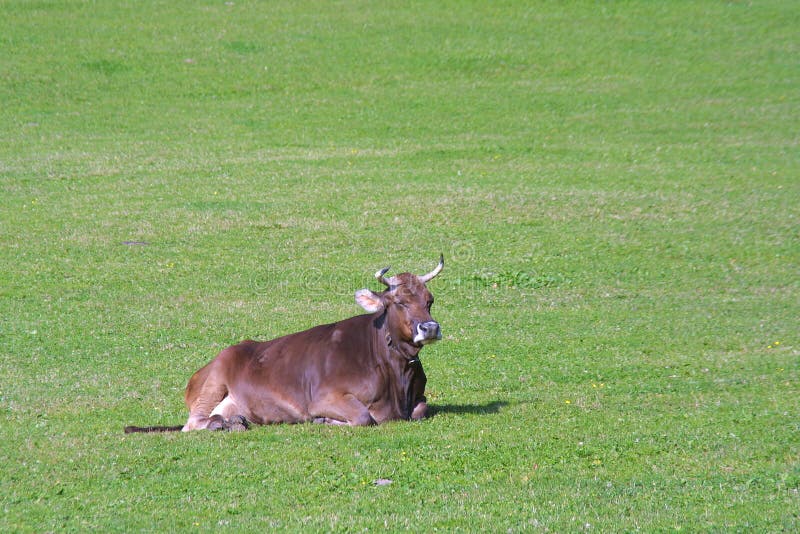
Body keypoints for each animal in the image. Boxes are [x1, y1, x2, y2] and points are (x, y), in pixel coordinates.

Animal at [124, 256, 443, 433]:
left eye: (429, 300)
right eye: (399, 302)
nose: (429, 327)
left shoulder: (417, 400)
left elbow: (421, 409)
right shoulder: (324, 397)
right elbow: (365, 417)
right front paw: (323, 422)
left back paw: (233, 422)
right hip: (212, 384)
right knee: (191, 424)